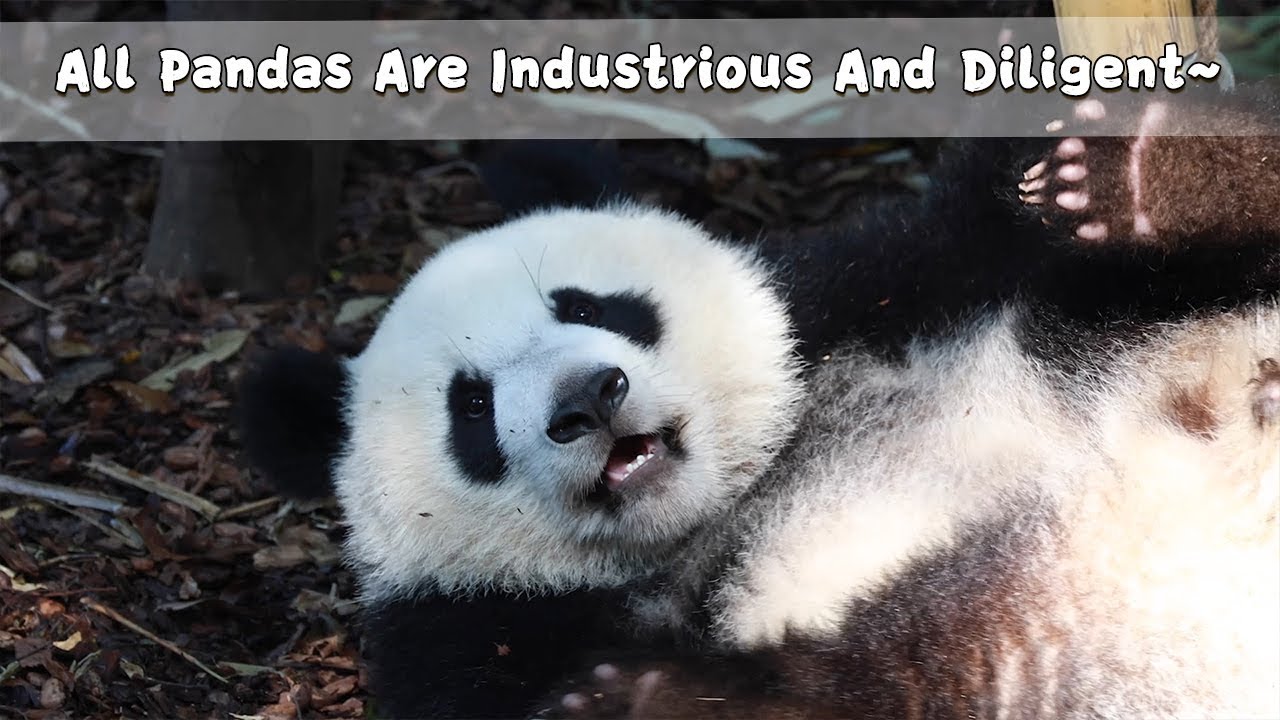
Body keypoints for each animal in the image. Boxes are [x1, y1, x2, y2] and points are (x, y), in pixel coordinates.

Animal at [240, 82, 1280, 720]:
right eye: (469, 409)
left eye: (586, 305)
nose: (589, 397)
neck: (734, 497)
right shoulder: (475, 633)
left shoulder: (884, 296)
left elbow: (980, 225)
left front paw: (1129, 184)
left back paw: (1139, 182)